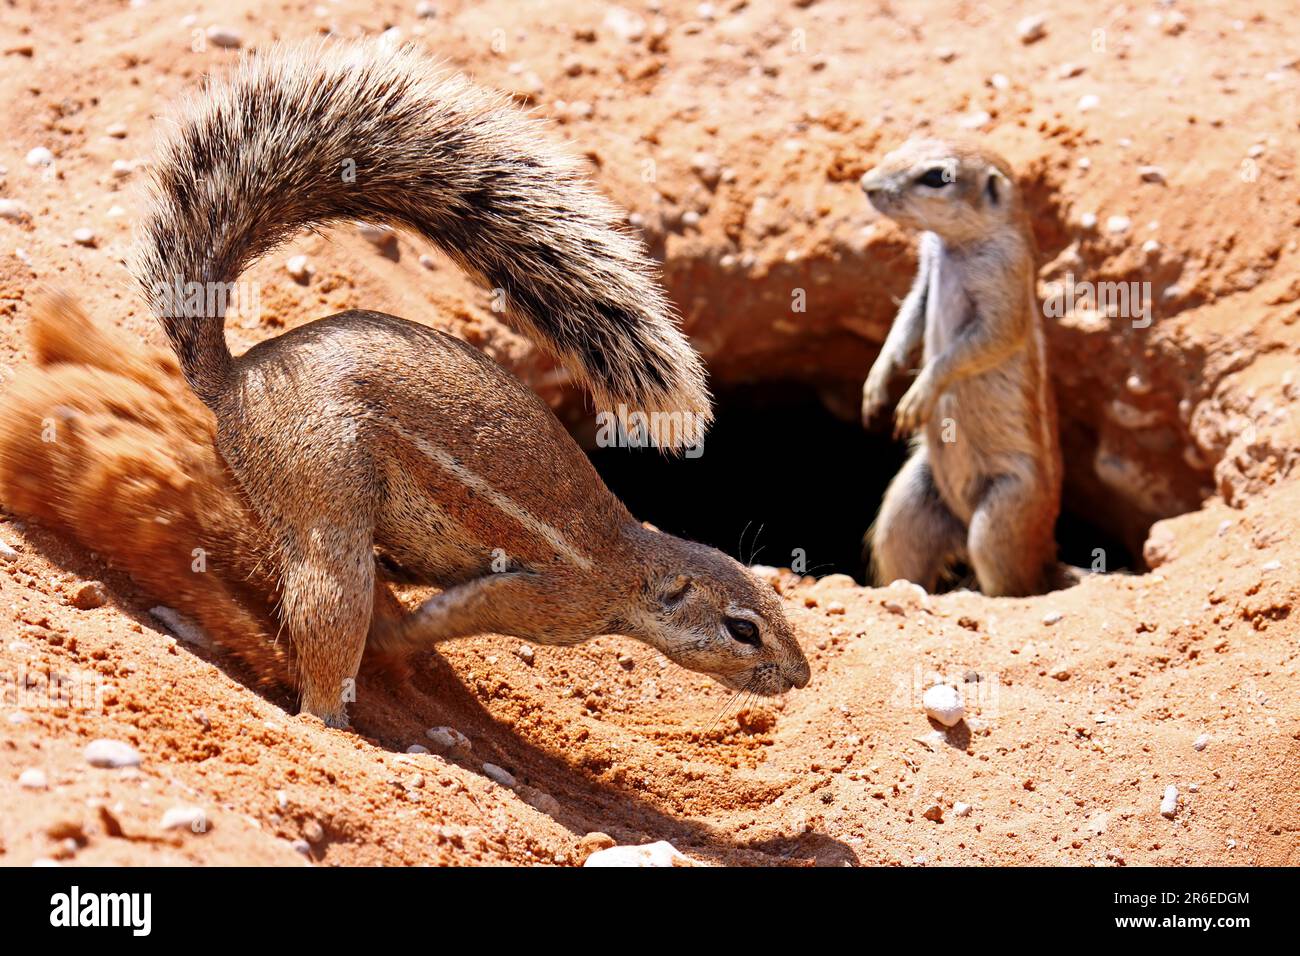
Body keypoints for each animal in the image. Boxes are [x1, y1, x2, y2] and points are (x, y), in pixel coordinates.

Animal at [123, 41, 808, 726]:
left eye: (779, 602)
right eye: (742, 629)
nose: (801, 677)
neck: (632, 564)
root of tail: (234, 380)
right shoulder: (550, 601)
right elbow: (450, 615)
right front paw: (396, 640)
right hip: (326, 499)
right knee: (330, 610)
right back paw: (335, 718)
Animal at [859, 137, 1062, 597]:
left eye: (937, 177)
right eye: (907, 141)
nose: (867, 185)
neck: (954, 247)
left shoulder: (1003, 283)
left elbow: (978, 343)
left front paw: (916, 395)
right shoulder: (925, 276)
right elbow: (909, 317)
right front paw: (877, 381)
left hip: (1003, 511)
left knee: (1011, 581)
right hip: (913, 496)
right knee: (900, 543)